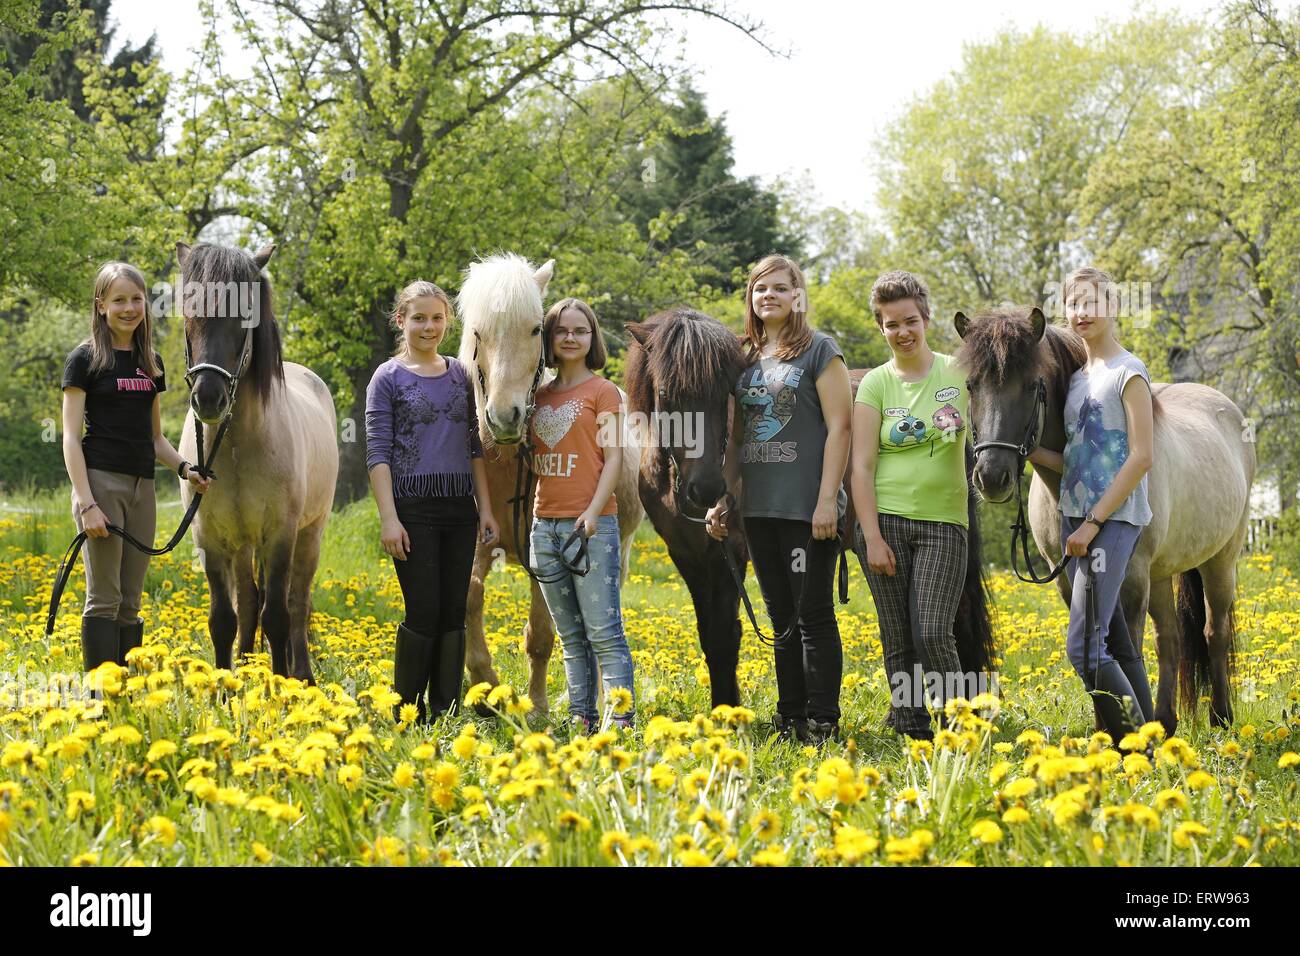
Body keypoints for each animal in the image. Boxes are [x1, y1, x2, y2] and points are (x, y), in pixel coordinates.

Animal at [177, 241, 339, 684]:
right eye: (189, 315)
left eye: (243, 318)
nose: (208, 398)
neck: (234, 445)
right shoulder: (210, 539)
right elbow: (223, 619)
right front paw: (224, 686)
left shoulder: (280, 535)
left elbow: (279, 616)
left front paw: (282, 685)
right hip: (243, 544)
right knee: (249, 602)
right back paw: (247, 665)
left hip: (309, 535)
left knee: (298, 603)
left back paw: (302, 674)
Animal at [457, 253, 644, 716]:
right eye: (478, 333)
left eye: (534, 329)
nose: (504, 417)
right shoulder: (479, 541)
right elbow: (469, 595)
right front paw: (486, 686)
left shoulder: (544, 556)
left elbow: (541, 634)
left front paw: (538, 705)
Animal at [955, 306, 1255, 734]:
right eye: (971, 384)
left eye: (1031, 386)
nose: (992, 476)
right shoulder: (1068, 579)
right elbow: (1090, 648)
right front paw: (1105, 731)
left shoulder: (1130, 579)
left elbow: (1122, 648)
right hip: (1161, 575)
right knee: (1171, 639)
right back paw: (1164, 722)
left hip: (1220, 561)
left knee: (1214, 631)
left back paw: (1221, 718)